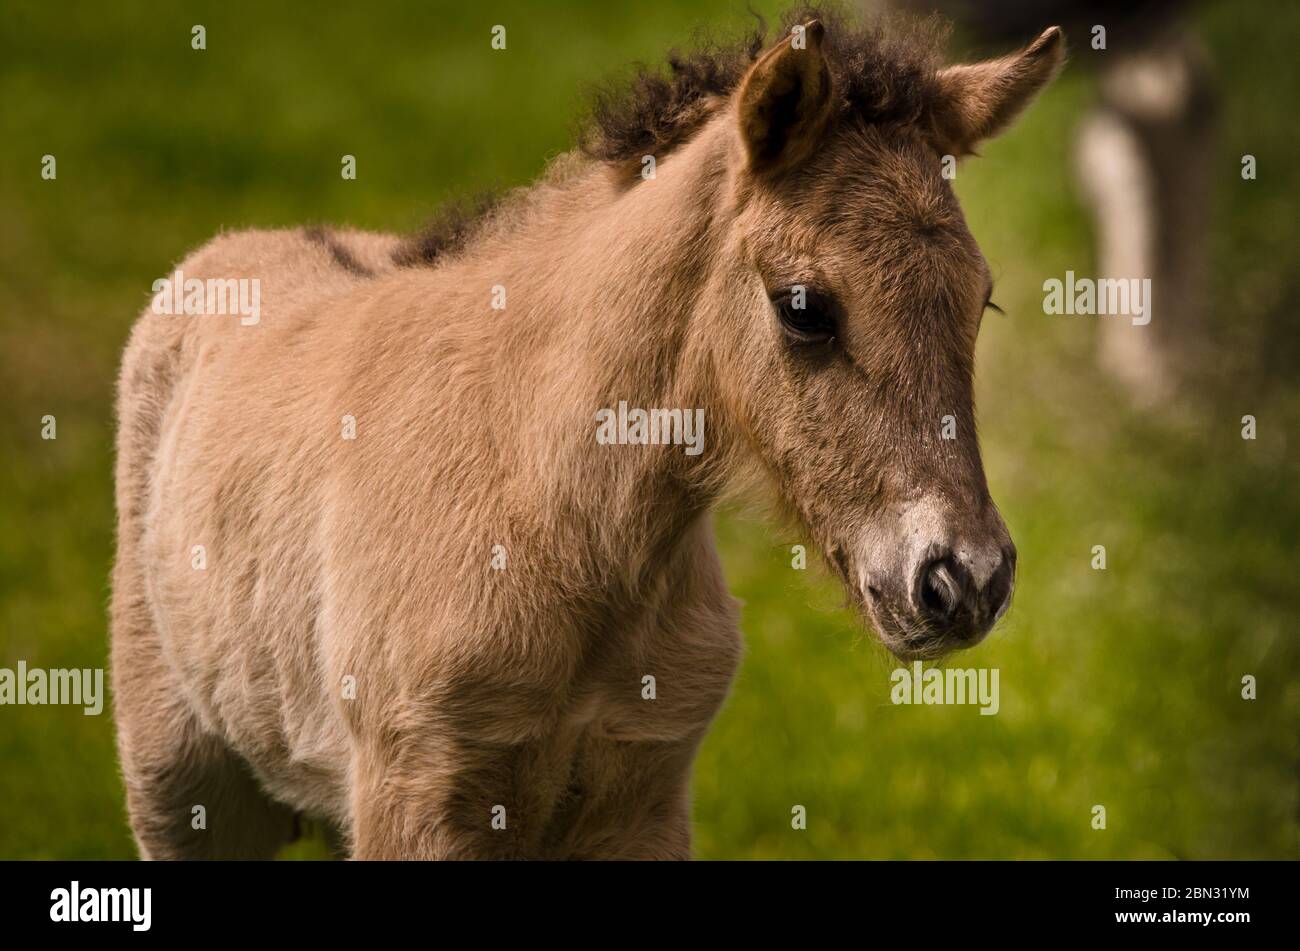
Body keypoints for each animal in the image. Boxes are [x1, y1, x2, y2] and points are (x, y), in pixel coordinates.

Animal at [110, 11, 1063, 859]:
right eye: (804, 308)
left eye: (981, 301)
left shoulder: (643, 801)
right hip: (180, 790)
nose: (964, 581)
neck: (554, 519)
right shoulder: (416, 801)